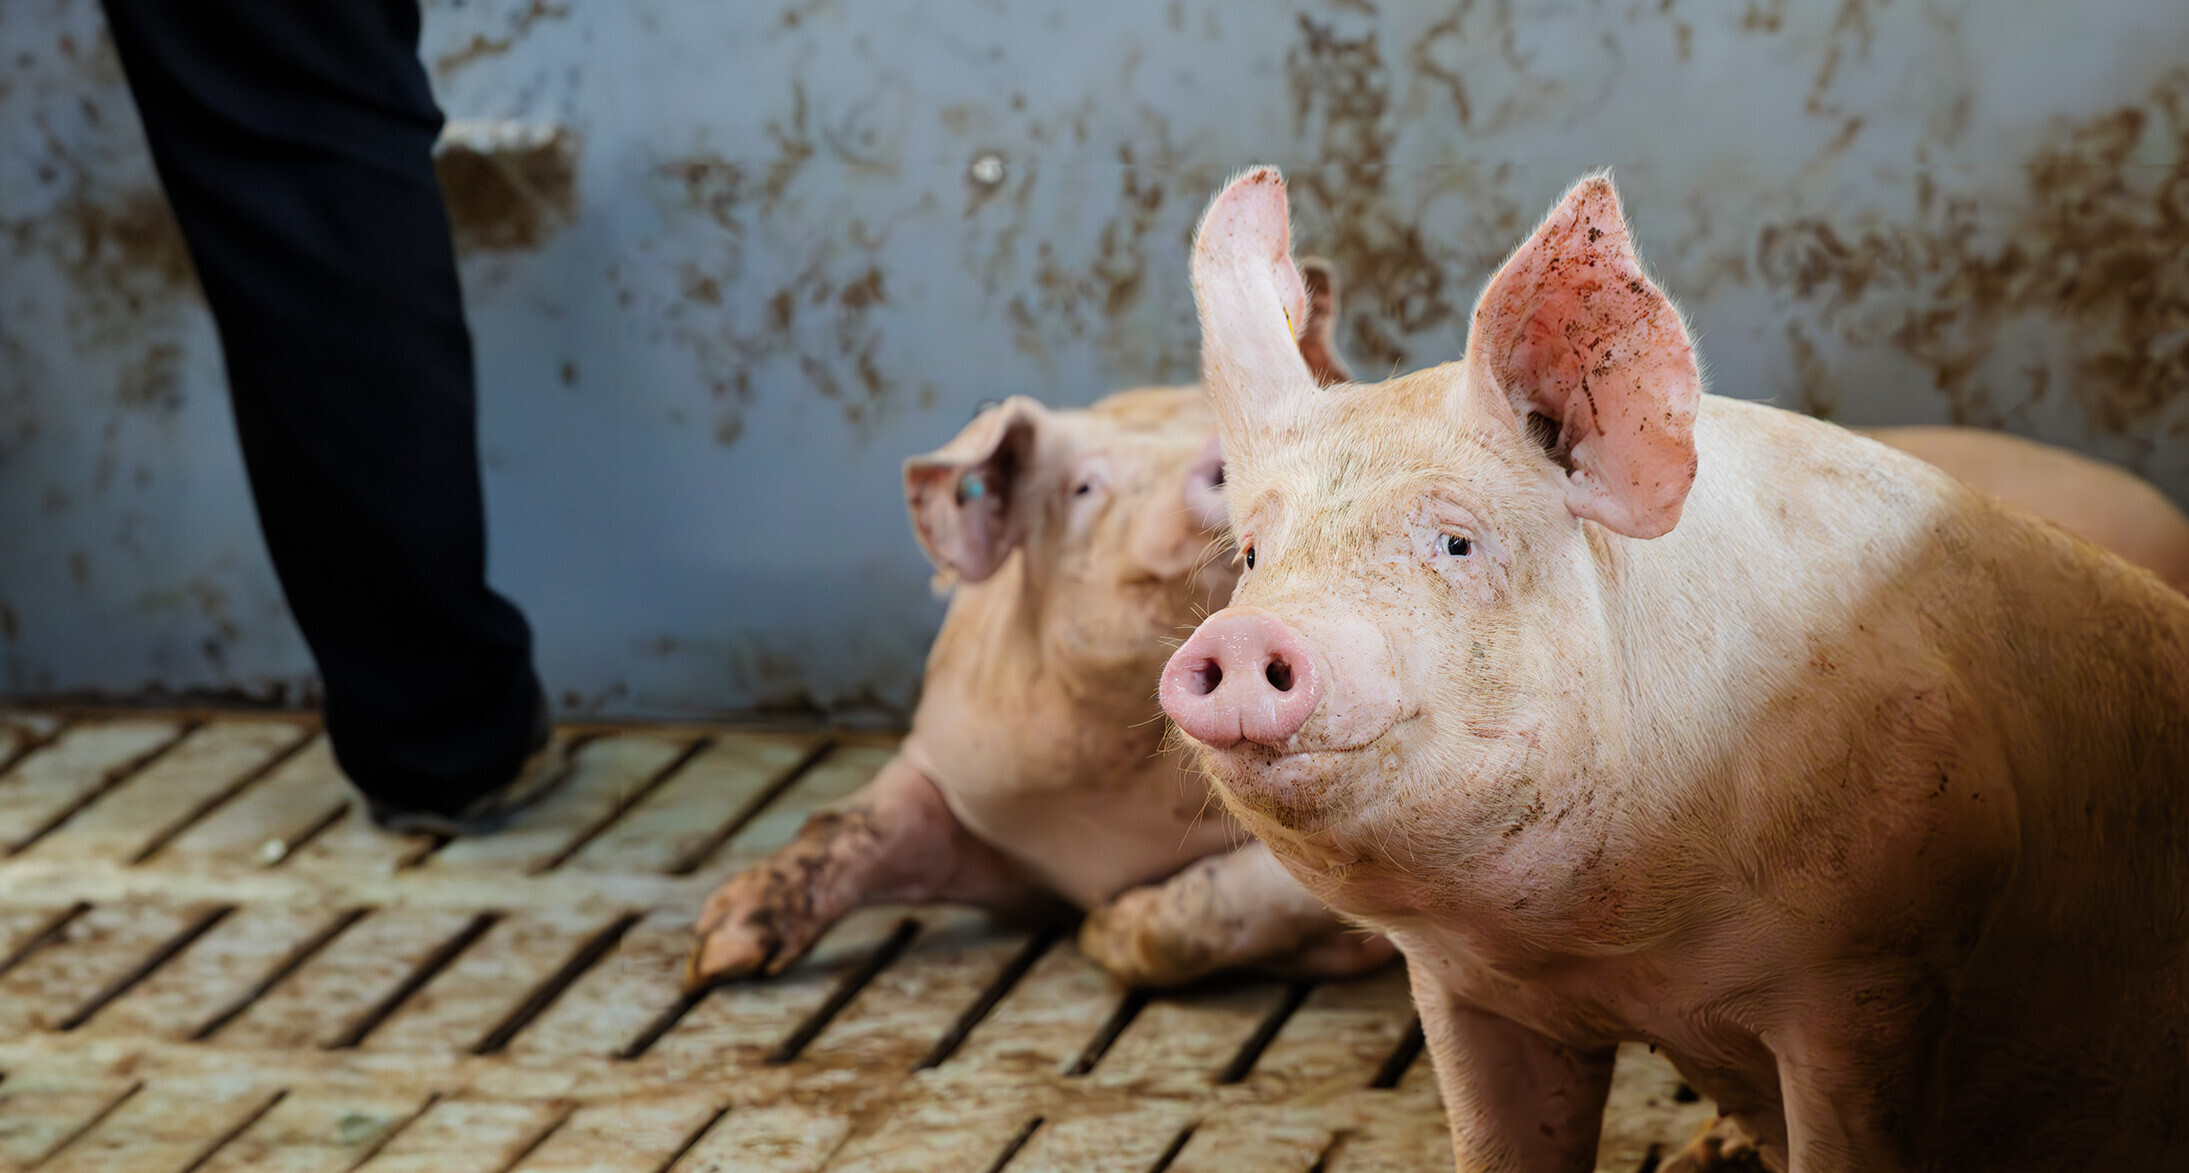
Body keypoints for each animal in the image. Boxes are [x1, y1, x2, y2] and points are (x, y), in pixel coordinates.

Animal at [687, 260, 1395, 989]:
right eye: (1082, 487)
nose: (1212, 456)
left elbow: (1244, 894)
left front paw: (1102, 932)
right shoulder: (958, 766)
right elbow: (854, 823)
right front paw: (716, 949)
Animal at [1160, 167, 2189, 1172]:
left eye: (1456, 542)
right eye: (1252, 554)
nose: (1246, 636)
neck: (1618, 951)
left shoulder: (1874, 974)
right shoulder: (1472, 992)